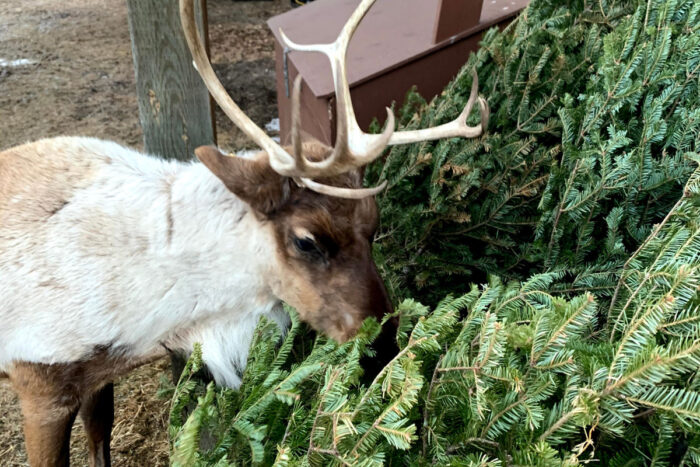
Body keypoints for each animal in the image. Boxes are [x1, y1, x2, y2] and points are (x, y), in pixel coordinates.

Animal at [0, 0, 488, 465]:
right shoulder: (42, 382)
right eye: (307, 240)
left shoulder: (97, 377)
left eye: (374, 223)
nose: (384, 345)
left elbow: (100, 444)